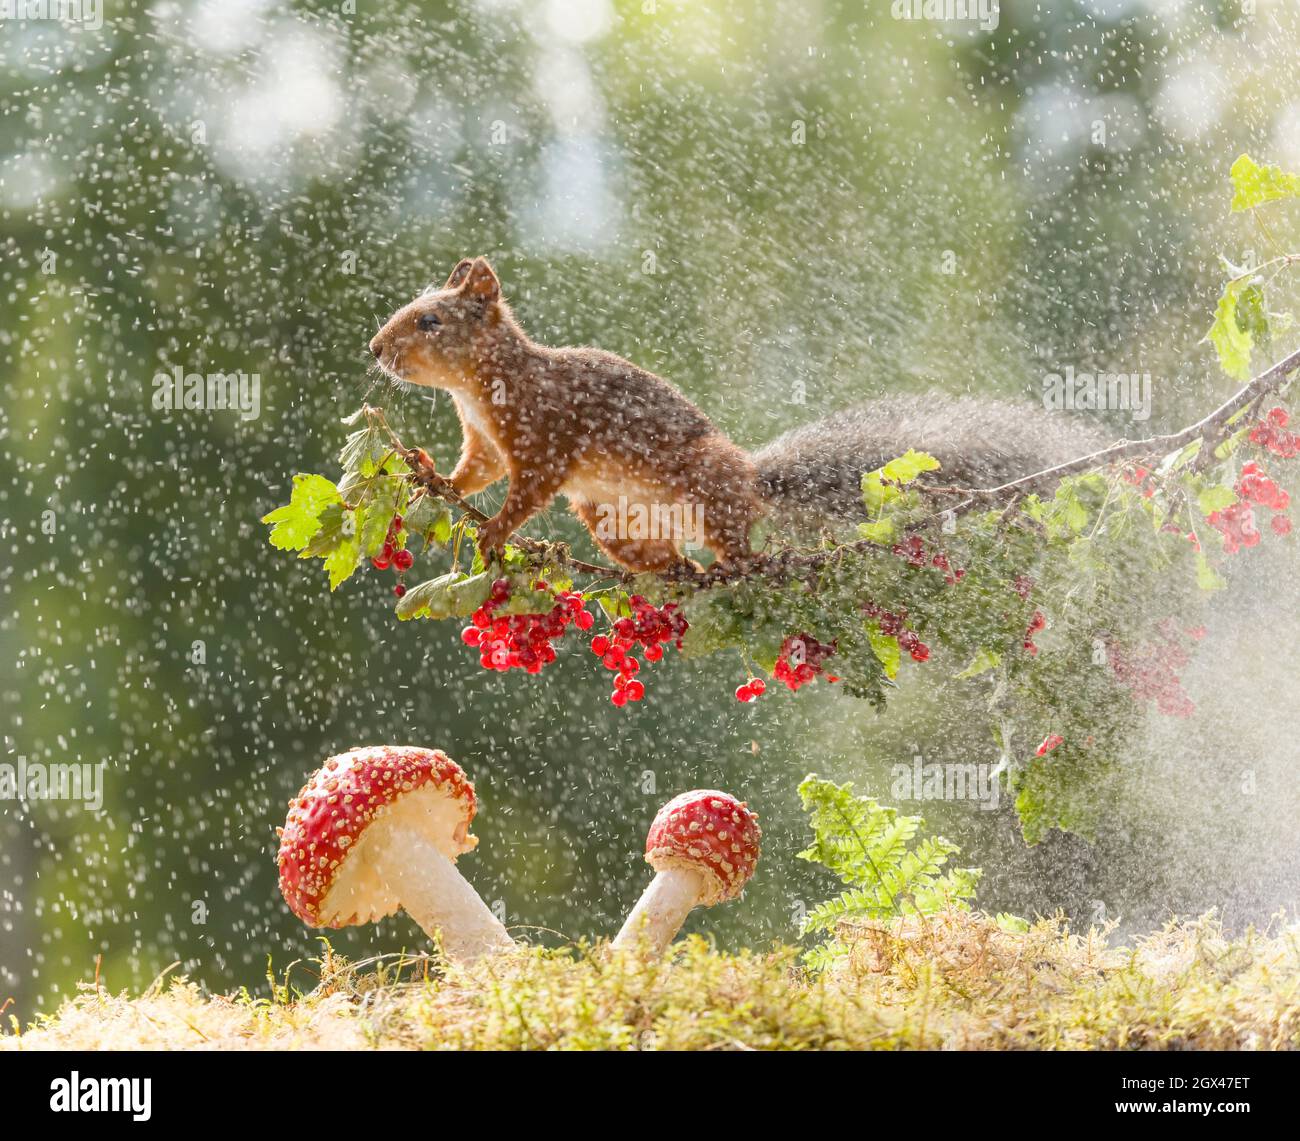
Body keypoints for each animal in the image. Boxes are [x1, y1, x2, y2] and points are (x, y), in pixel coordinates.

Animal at [369, 257, 1104, 573]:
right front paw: (434, 477)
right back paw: (670, 574)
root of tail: (752, 479)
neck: (479, 387)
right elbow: (474, 473)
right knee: (656, 551)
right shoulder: (487, 442)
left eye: (430, 321)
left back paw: (733, 567)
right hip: (608, 514)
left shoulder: (546, 436)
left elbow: (525, 491)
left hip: (704, 487)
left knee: (734, 540)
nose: (375, 348)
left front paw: (495, 530)